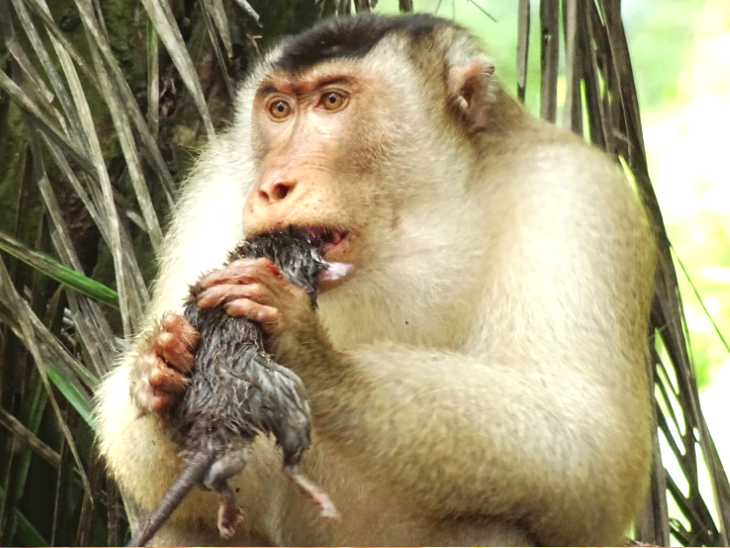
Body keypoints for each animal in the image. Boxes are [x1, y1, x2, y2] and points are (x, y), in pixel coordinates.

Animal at [128, 228, 341, 547]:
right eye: (305, 239)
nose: (310, 234)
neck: (257, 251)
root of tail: (209, 427)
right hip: (286, 404)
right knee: (280, 462)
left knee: (214, 475)